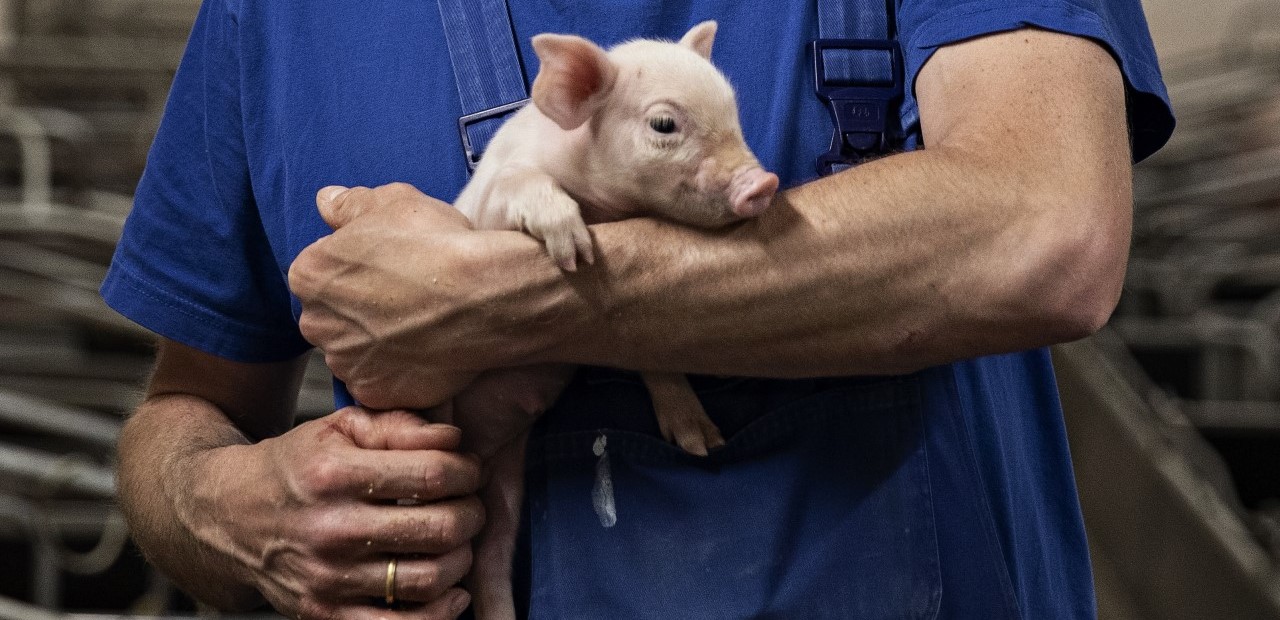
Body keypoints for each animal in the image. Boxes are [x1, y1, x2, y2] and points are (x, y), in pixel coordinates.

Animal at [447, 21, 779, 619]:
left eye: (734, 112)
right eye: (664, 124)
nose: (763, 185)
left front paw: (702, 445)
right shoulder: (490, 203)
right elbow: (520, 188)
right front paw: (577, 251)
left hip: (506, 480)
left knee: (493, 550)